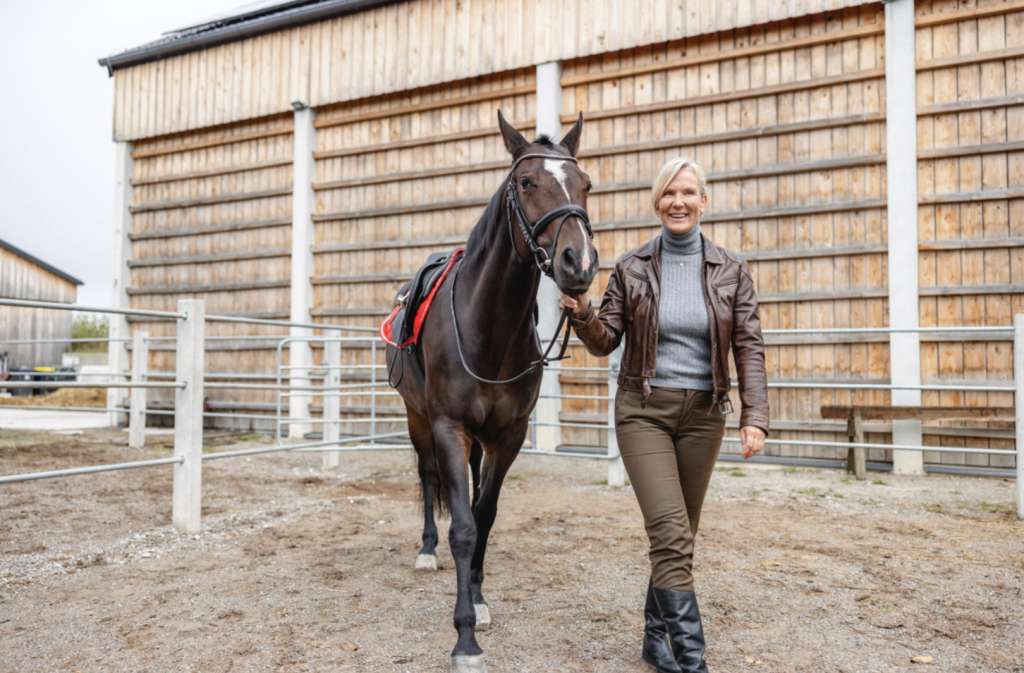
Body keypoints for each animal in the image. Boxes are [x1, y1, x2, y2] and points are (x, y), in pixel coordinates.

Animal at [384, 111, 597, 673]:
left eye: (586, 184)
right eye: (525, 182)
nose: (579, 263)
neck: (490, 330)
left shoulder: (508, 436)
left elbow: (484, 515)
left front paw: (478, 604)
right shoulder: (449, 428)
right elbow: (461, 526)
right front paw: (463, 641)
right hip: (417, 420)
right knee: (428, 478)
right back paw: (426, 551)